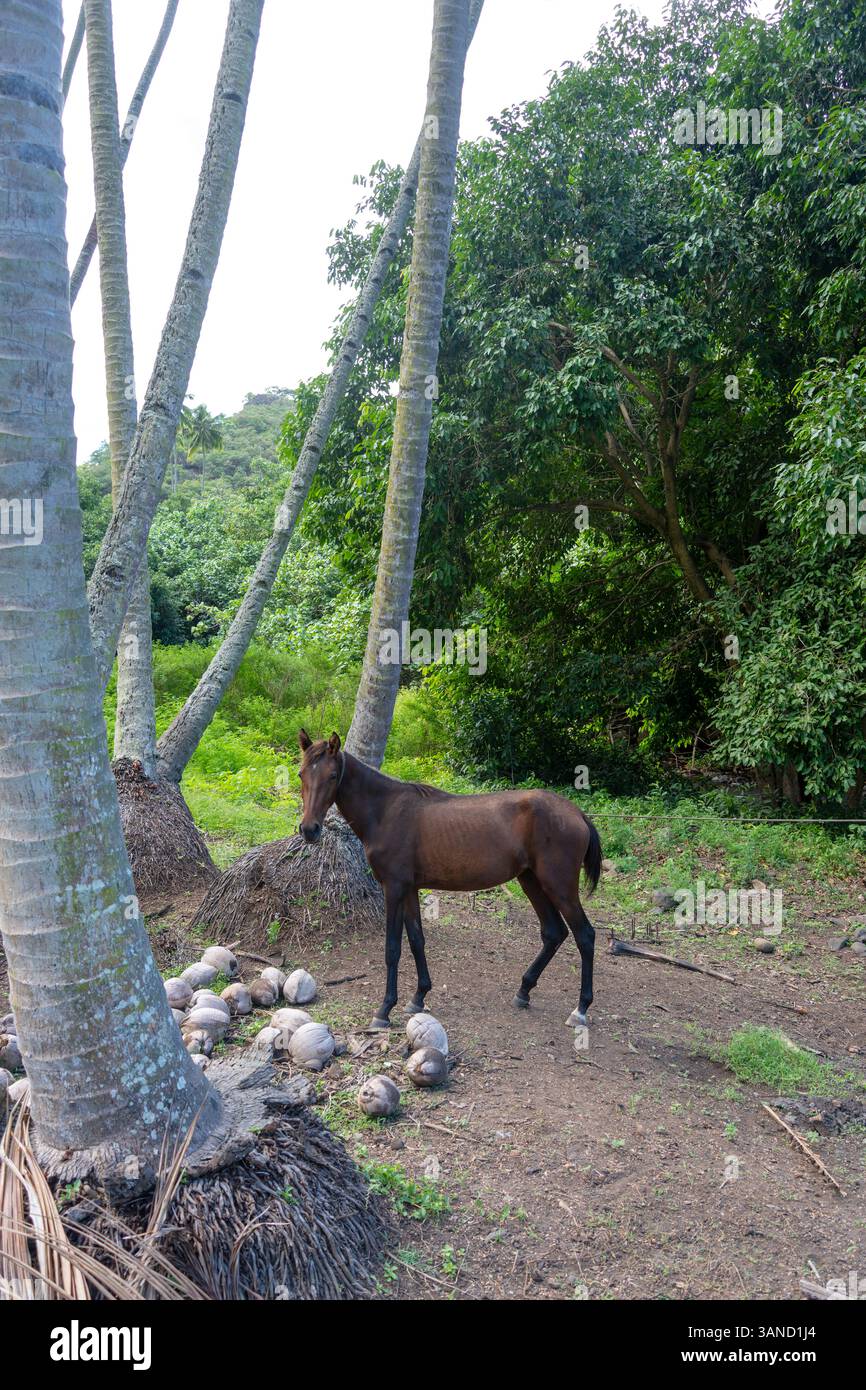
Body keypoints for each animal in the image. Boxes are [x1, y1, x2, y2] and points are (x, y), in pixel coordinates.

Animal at [297, 730, 602, 1031]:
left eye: (332, 776)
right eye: (301, 774)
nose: (309, 829)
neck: (386, 810)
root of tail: (576, 813)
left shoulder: (393, 889)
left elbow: (392, 948)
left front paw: (384, 1009)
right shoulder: (409, 890)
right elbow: (416, 940)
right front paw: (418, 996)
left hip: (559, 887)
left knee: (585, 935)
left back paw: (581, 1009)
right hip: (531, 881)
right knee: (554, 933)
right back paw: (524, 991)